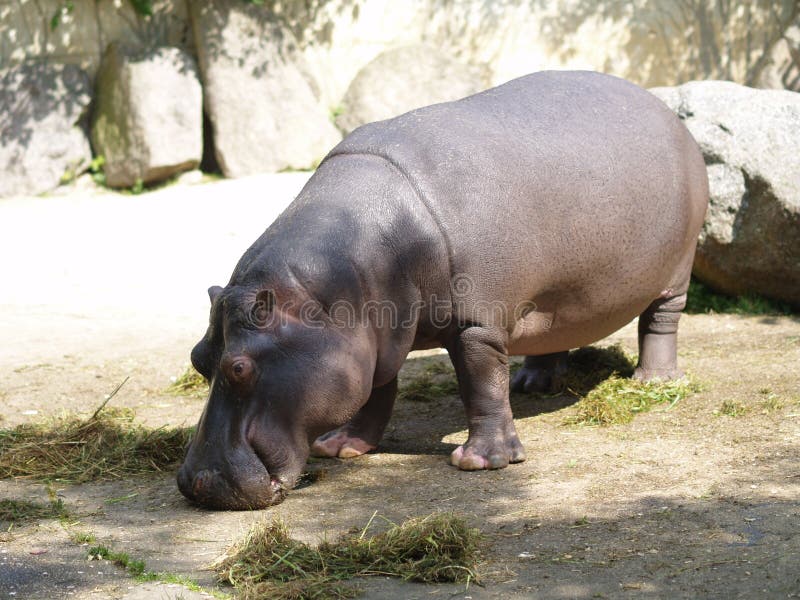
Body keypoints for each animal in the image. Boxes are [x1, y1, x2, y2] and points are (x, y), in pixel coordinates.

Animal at [178, 70, 708, 510]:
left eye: (240, 368)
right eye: (198, 359)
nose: (199, 484)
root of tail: (661, 106)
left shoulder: (476, 325)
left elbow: (481, 386)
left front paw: (479, 462)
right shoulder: (374, 339)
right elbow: (376, 392)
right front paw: (342, 447)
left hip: (678, 269)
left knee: (661, 322)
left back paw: (653, 381)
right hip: (555, 299)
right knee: (555, 333)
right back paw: (533, 383)